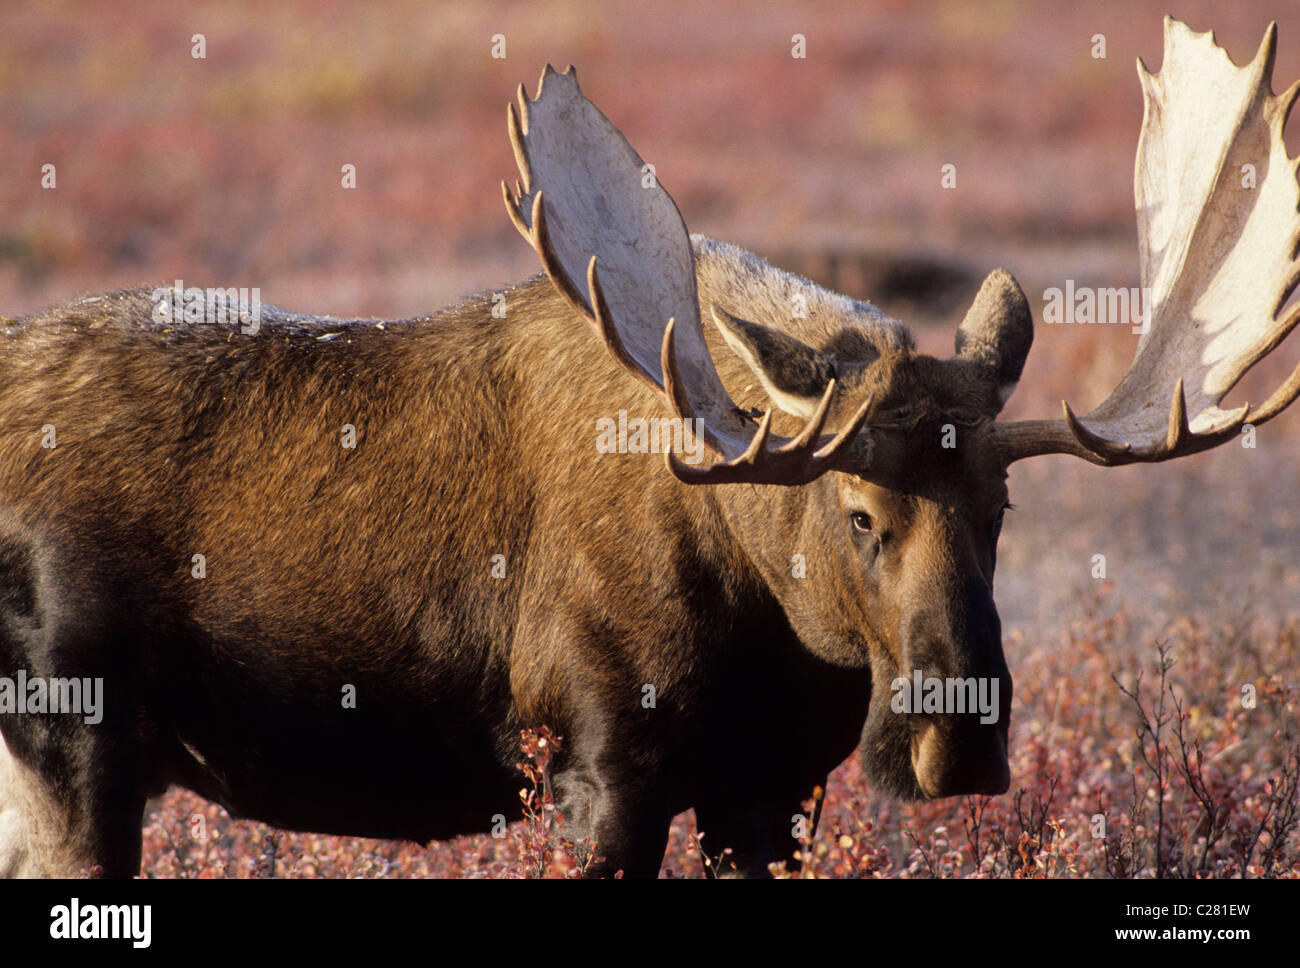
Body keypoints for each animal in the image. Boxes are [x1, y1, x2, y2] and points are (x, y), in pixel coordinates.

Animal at [1, 16, 1297, 878]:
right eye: (859, 511)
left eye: (1001, 512)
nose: (958, 736)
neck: (760, 611)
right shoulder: (595, 757)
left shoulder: (770, 785)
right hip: (70, 733)